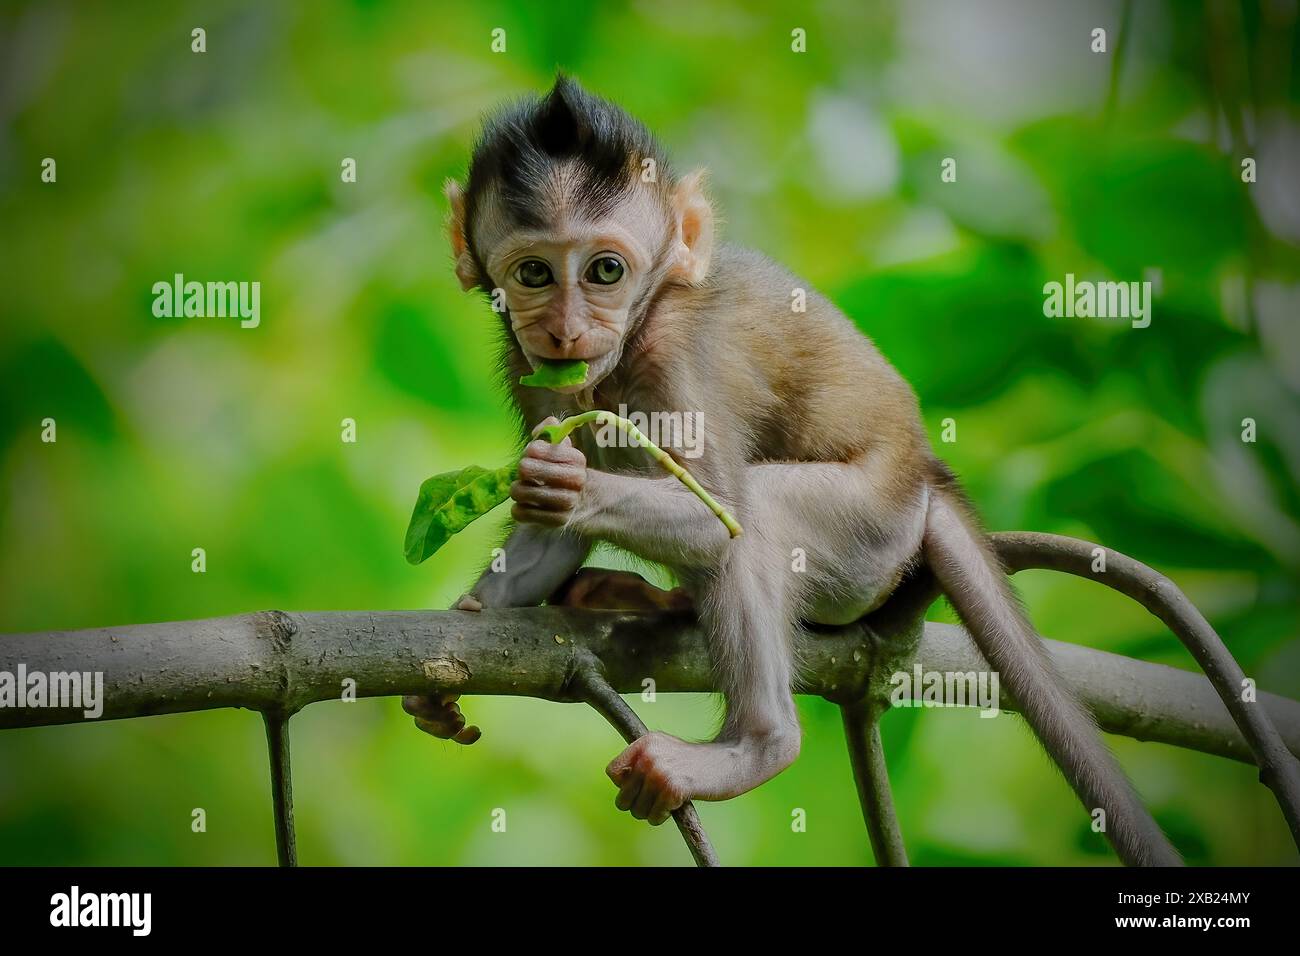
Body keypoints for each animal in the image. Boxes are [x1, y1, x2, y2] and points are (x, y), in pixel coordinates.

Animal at [402, 75, 1181, 866]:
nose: (564, 330)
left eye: (605, 271)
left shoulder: (676, 354)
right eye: (534, 273)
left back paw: (756, 745)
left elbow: (720, 520)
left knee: (763, 518)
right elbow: (548, 537)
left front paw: (572, 486)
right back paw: (654, 602)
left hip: (871, 531)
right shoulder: (532, 371)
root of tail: (929, 482)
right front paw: (469, 624)